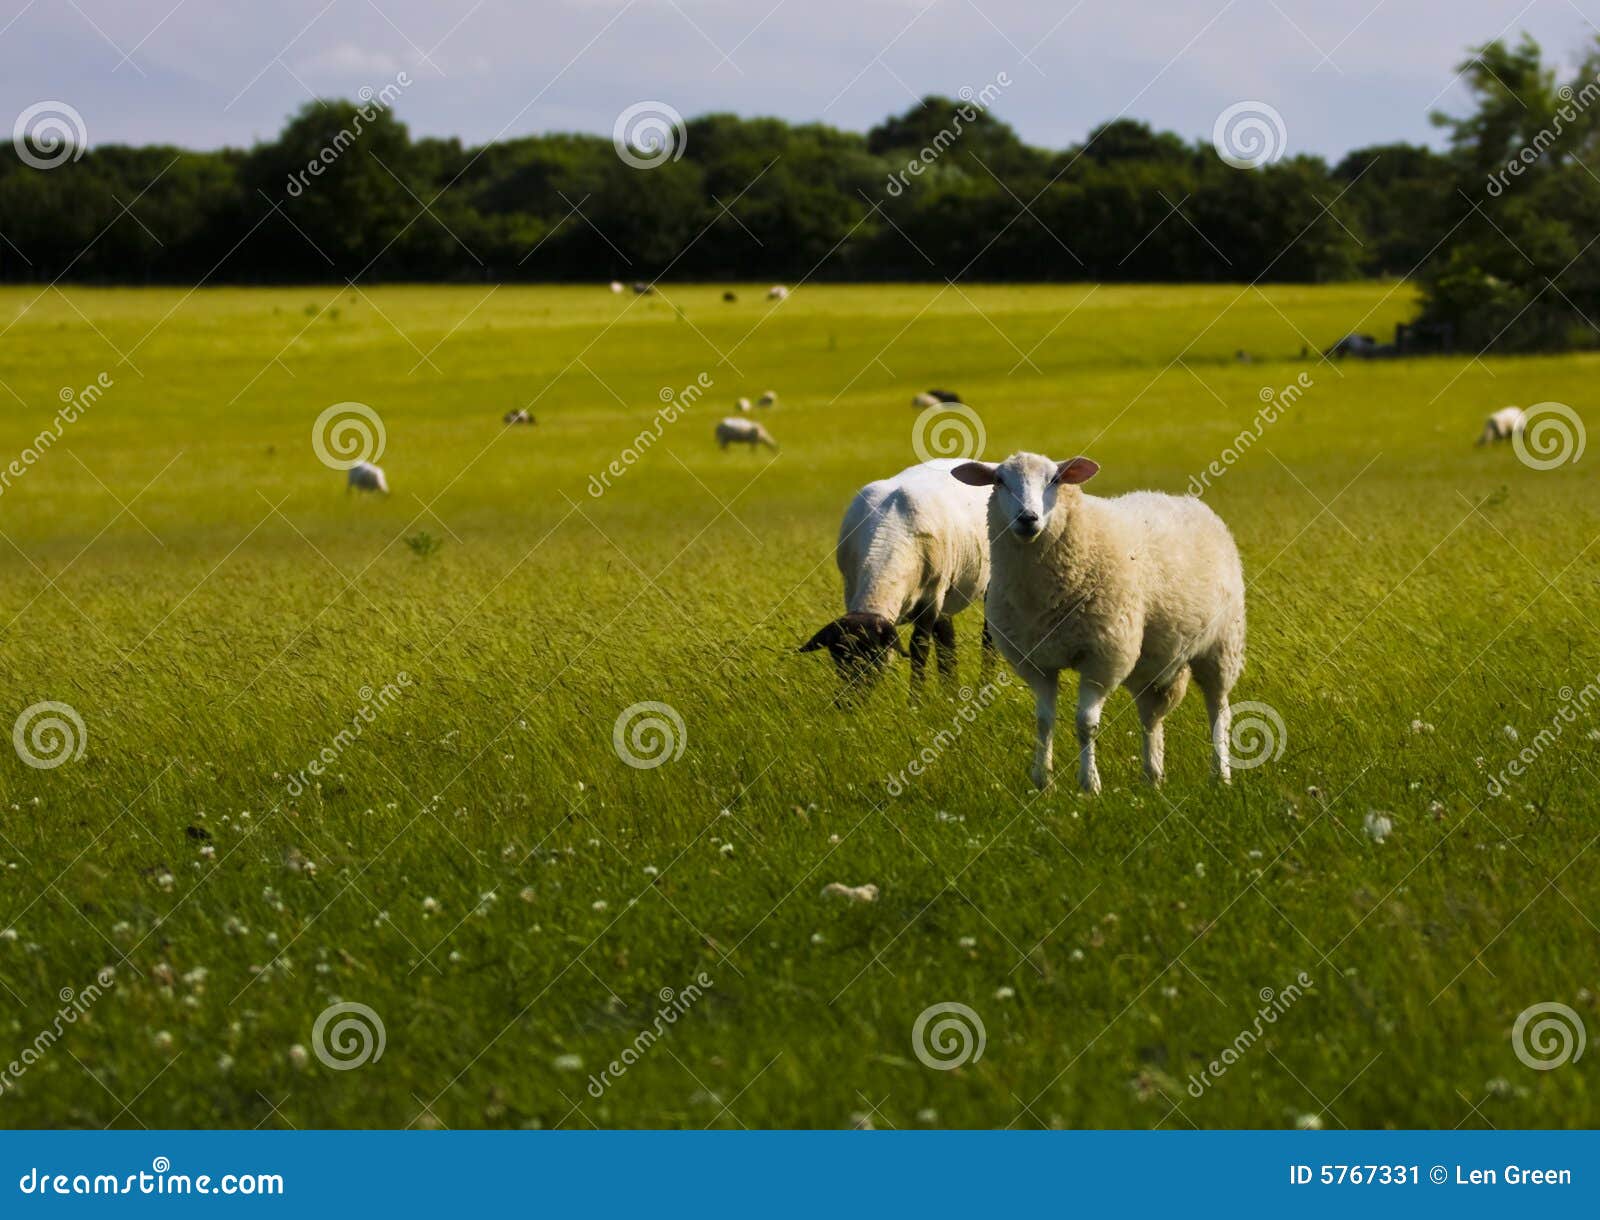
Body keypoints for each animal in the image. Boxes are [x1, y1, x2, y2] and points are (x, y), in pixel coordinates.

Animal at [801, 459, 995, 695]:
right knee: (946, 639)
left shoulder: (931, 599)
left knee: (987, 636)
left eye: (875, 657)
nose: (850, 701)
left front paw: (916, 699)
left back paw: (985, 685)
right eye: (838, 660)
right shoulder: (850, 589)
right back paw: (951, 691)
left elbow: (919, 650)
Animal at [952, 452, 1245, 792]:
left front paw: (1089, 784)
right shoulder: (1038, 663)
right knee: (1150, 717)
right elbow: (1043, 721)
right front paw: (1043, 781)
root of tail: (1186, 501)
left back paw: (1220, 775)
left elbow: (1086, 724)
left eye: (1055, 480)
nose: (1028, 518)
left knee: (1219, 711)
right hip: (1149, 661)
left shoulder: (1102, 657)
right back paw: (1152, 776)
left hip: (1222, 645)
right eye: (999, 481)